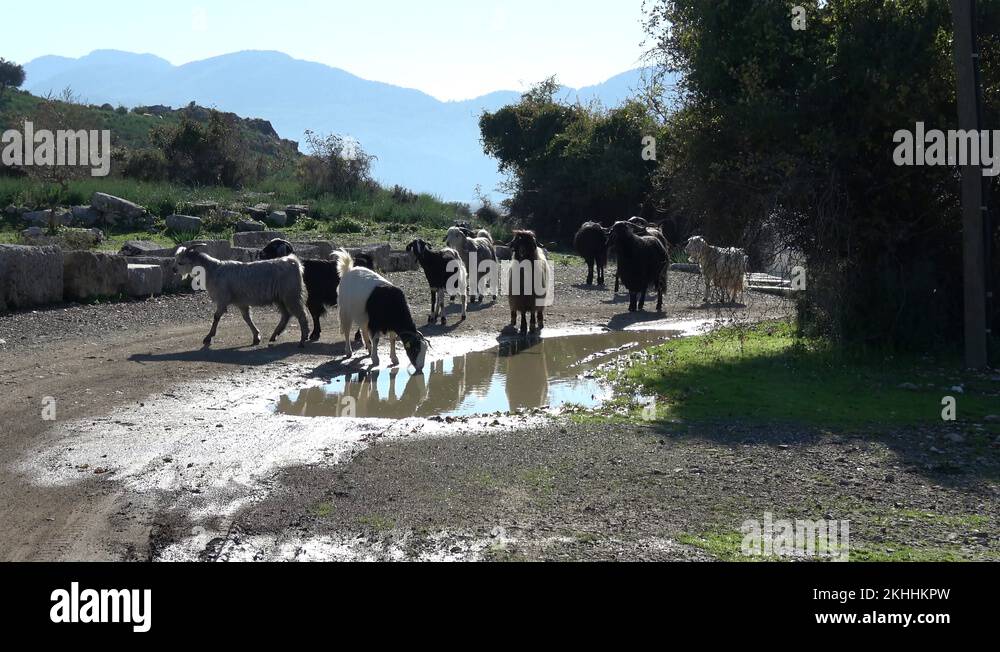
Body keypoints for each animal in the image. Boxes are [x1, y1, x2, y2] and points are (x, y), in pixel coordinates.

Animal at [174, 244, 309, 347]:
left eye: (181, 262)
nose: (174, 271)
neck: (213, 270)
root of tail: (294, 262)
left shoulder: (222, 299)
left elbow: (216, 317)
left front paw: (208, 337)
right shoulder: (241, 302)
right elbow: (247, 318)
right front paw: (256, 336)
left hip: (292, 295)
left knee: (302, 316)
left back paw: (303, 340)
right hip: (280, 298)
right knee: (286, 315)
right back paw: (274, 335)